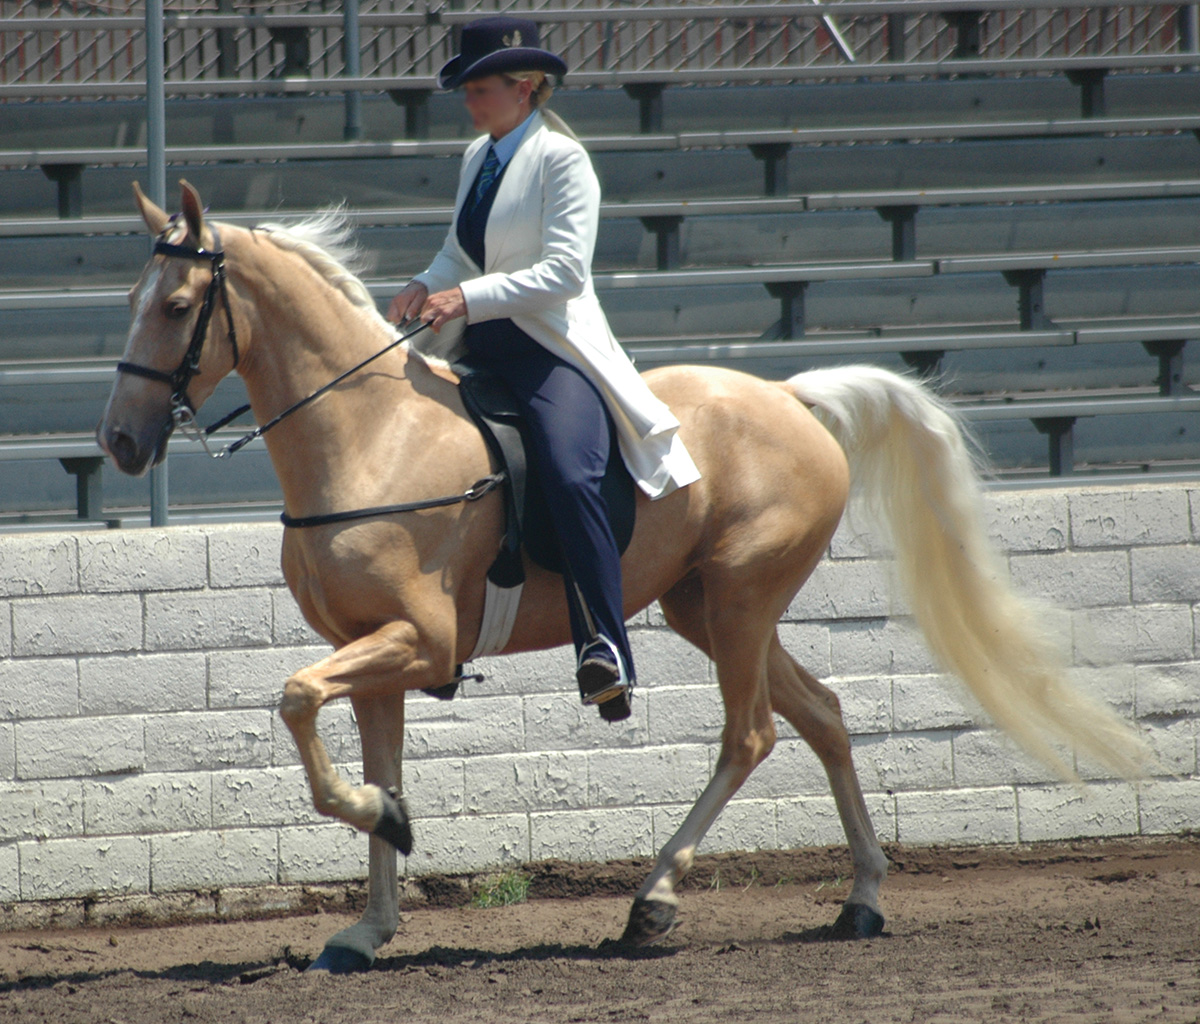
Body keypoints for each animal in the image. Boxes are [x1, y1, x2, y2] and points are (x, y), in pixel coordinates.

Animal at [98, 181, 1146, 972]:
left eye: (179, 308)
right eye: (132, 301)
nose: (117, 443)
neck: (369, 435)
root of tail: (791, 397)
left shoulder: (416, 644)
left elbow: (294, 700)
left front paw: (381, 832)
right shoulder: (374, 657)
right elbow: (358, 754)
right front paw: (372, 904)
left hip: (739, 603)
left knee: (752, 733)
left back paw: (655, 900)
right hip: (707, 608)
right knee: (822, 714)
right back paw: (861, 901)